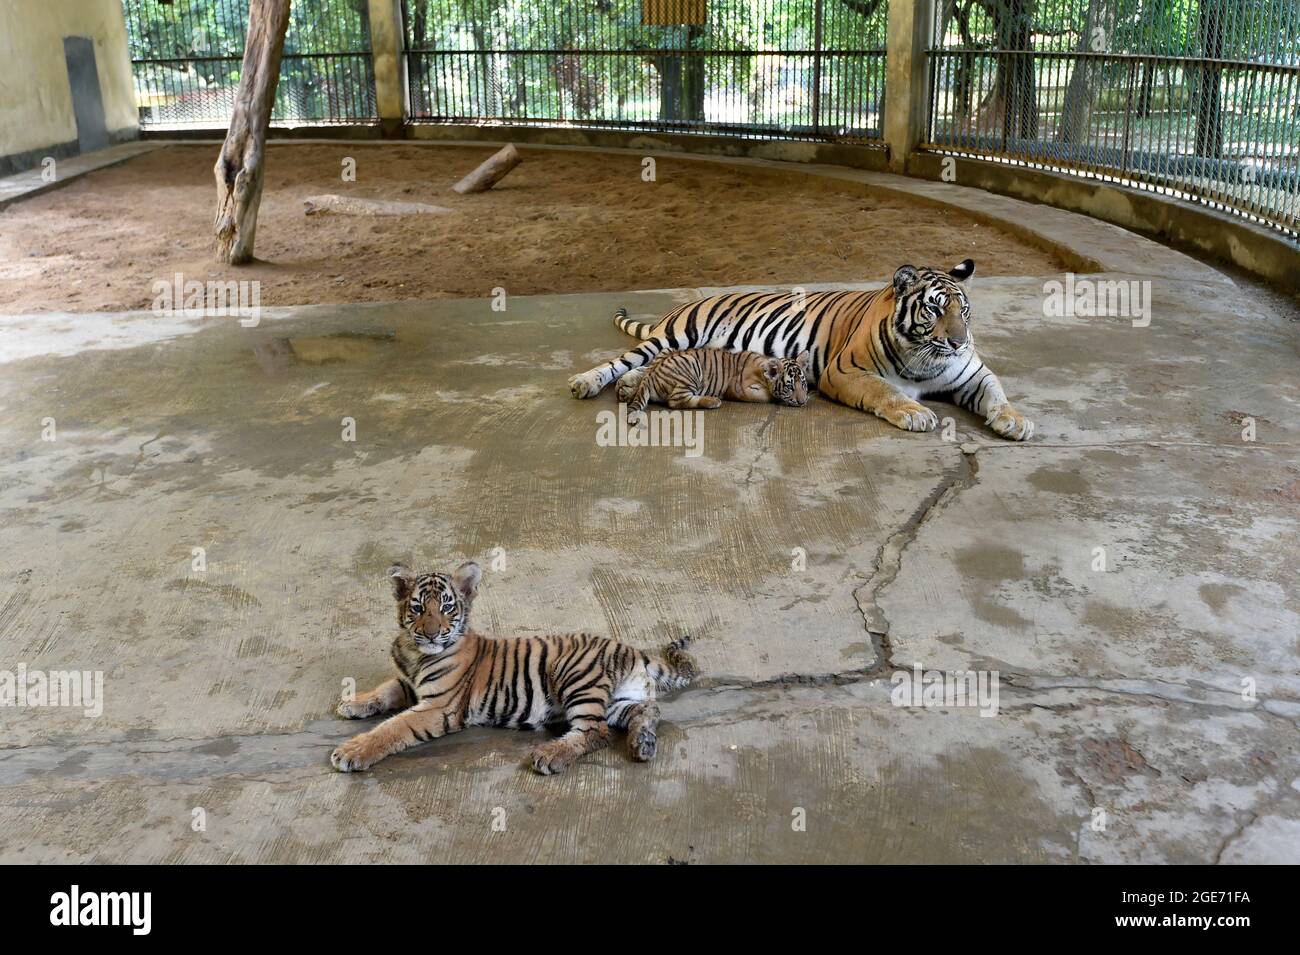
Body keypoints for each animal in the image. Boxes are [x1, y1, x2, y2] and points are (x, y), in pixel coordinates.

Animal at [330, 561, 698, 775]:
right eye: (418, 608)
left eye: (447, 607)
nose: (432, 633)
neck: (416, 652)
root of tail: (632, 649)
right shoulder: (408, 683)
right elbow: (383, 689)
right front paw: (353, 703)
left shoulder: (438, 706)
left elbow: (392, 728)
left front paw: (351, 751)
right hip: (618, 701)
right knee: (647, 710)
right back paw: (642, 742)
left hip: (574, 675)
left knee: (596, 732)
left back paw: (550, 755)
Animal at [614, 344, 811, 424]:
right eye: (789, 387)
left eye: (803, 384)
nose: (803, 402)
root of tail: (653, 376)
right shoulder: (738, 388)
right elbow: (766, 396)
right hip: (691, 366)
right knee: (676, 401)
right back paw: (712, 401)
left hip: (669, 350)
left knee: (646, 370)